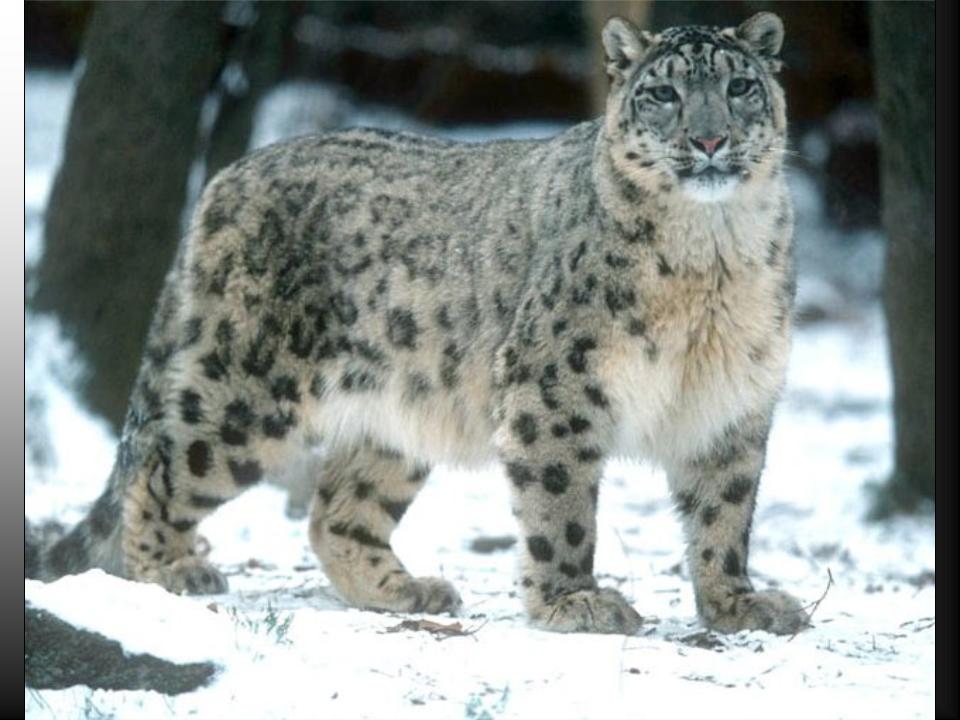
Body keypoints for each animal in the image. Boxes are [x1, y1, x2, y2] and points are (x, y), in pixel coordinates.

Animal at [29, 12, 810, 636]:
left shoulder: (735, 400)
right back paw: (170, 570)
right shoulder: (556, 387)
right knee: (163, 468)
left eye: (739, 88)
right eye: (664, 93)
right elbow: (561, 507)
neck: (713, 257)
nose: (709, 141)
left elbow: (725, 512)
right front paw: (573, 602)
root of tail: (227, 176)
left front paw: (738, 604)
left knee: (336, 510)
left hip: (396, 415)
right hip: (244, 390)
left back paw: (404, 590)